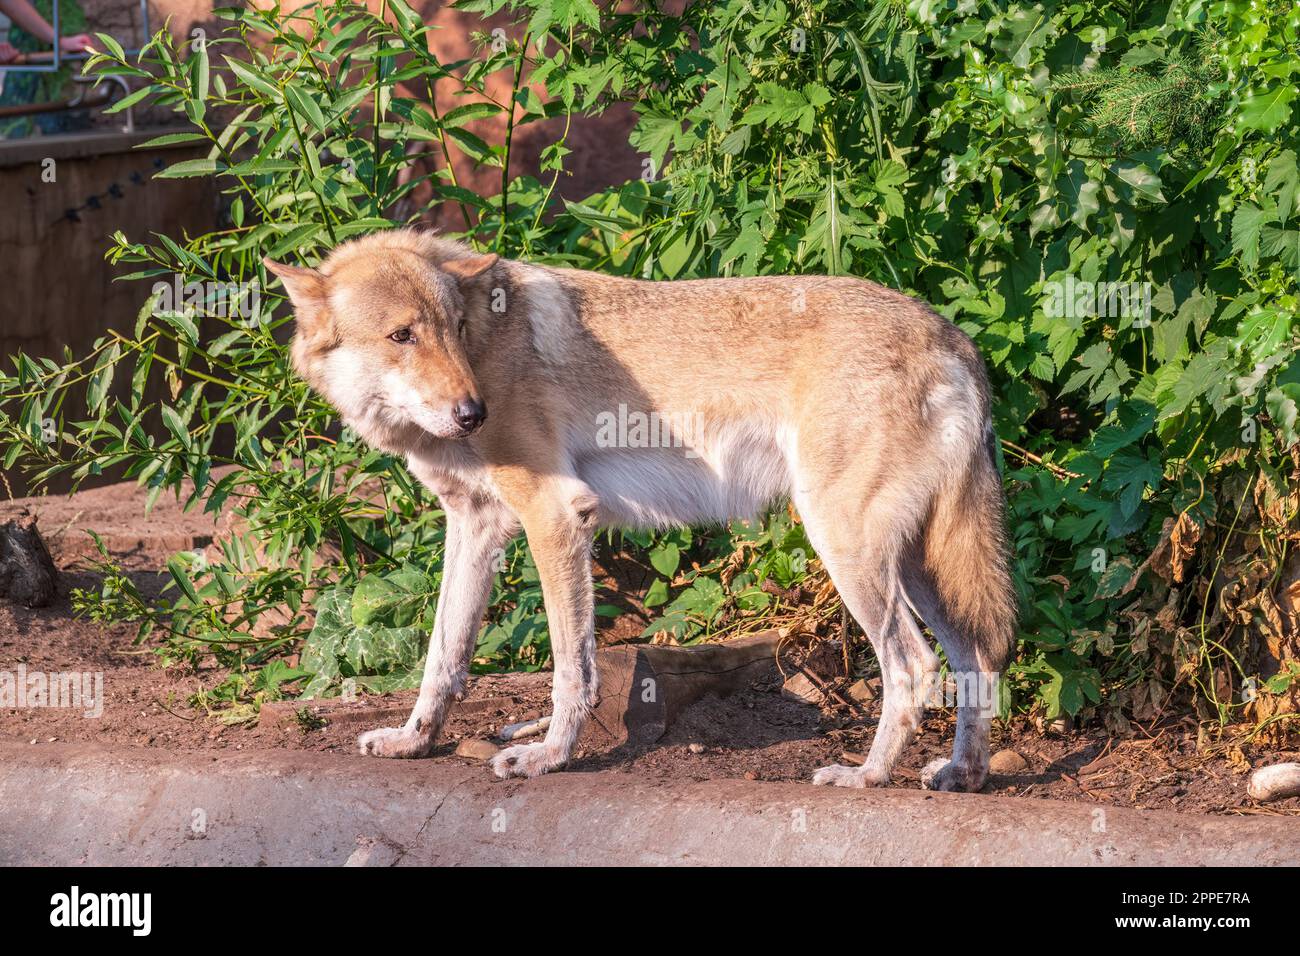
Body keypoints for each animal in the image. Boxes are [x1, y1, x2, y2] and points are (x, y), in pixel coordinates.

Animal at [265, 228, 1016, 792]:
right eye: (403, 336)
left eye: (451, 329)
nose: (472, 411)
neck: (485, 345)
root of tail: (955, 340)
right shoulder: (476, 525)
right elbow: (441, 658)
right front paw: (414, 741)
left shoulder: (556, 515)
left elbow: (571, 668)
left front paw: (548, 757)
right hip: (916, 567)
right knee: (979, 659)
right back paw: (963, 774)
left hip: (850, 550)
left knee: (914, 667)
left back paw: (866, 776)